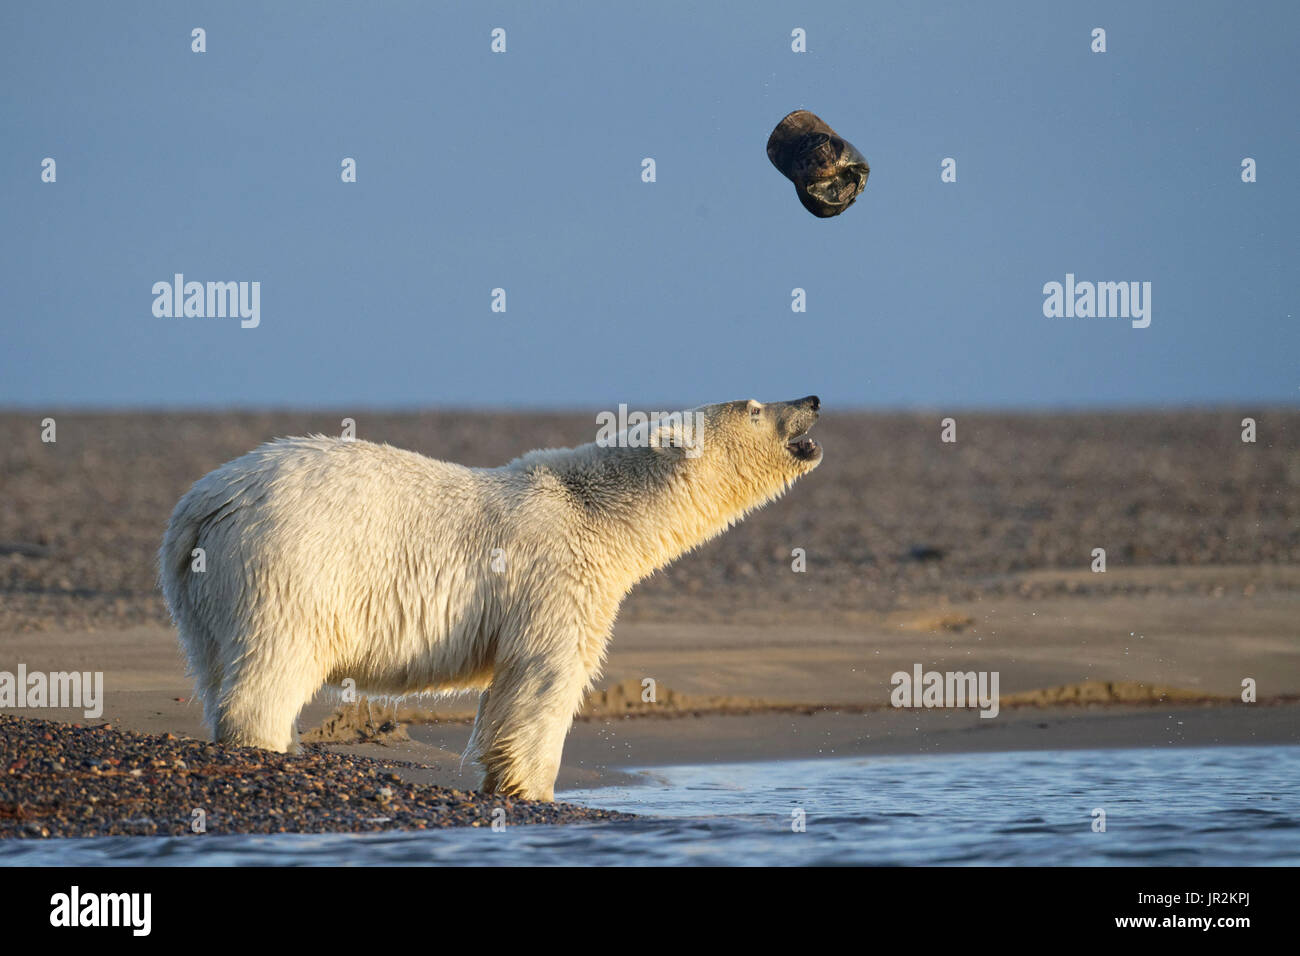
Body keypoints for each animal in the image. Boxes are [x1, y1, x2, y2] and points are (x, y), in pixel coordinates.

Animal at [158, 396, 822, 801]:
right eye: (756, 407)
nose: (812, 400)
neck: (600, 512)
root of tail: (206, 501)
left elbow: (509, 692)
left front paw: (505, 781)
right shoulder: (557, 576)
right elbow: (547, 676)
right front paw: (536, 789)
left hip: (196, 587)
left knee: (212, 662)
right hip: (291, 562)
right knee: (276, 662)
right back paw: (271, 745)